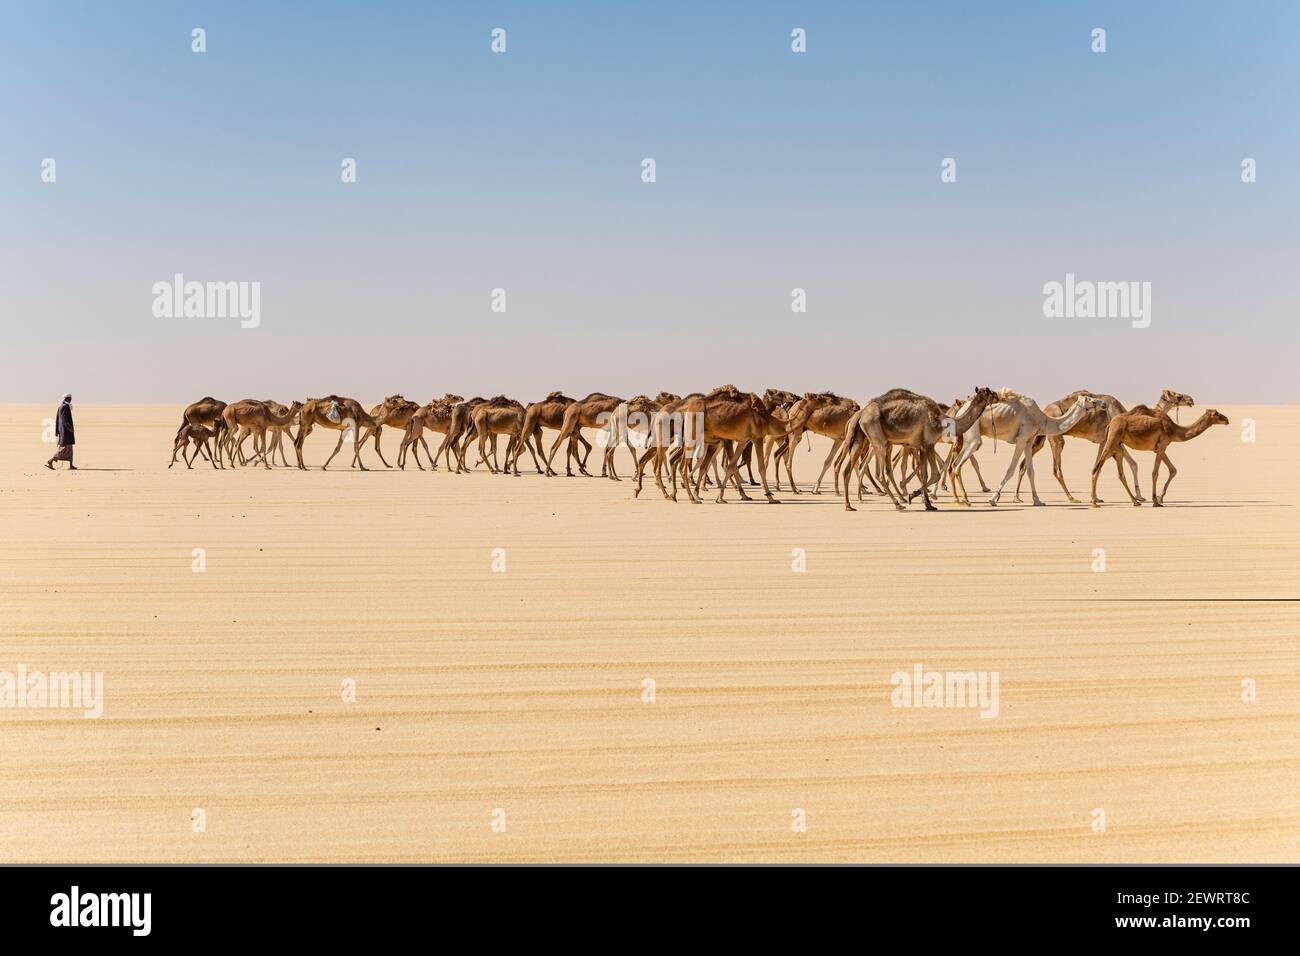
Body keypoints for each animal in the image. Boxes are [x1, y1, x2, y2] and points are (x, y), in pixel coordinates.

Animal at [840, 387, 997, 512]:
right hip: (878, 436)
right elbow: (934, 474)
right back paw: (897, 503)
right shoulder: (929, 444)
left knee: (848, 469)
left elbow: (924, 474)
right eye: (990, 391)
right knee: (879, 472)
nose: (997, 395)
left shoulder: (921, 446)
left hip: (861, 438)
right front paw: (913, 496)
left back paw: (849, 505)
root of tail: (861, 413)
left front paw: (928, 504)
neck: (943, 421)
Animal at [1014, 388, 1195, 504]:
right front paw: (1139, 496)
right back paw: (1071, 498)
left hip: (1040, 438)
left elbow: (1107, 465)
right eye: (1177, 396)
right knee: (1056, 469)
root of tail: (1044, 411)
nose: (1191, 399)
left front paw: (1097, 497)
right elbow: (1132, 464)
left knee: (1023, 464)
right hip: (1056, 439)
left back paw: (1017, 497)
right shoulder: (1114, 440)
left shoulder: (1104, 441)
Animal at [1090, 409, 1228, 507]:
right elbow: (1155, 473)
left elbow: (1173, 470)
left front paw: (1161, 498)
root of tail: (1110, 424)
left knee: (1117, 473)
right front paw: (1156, 501)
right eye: (1217, 413)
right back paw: (1095, 503)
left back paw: (1135, 502)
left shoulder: (1160, 448)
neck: (1174, 430)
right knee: (1097, 468)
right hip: (1112, 440)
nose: (1227, 419)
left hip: (1117, 447)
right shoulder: (1162, 446)